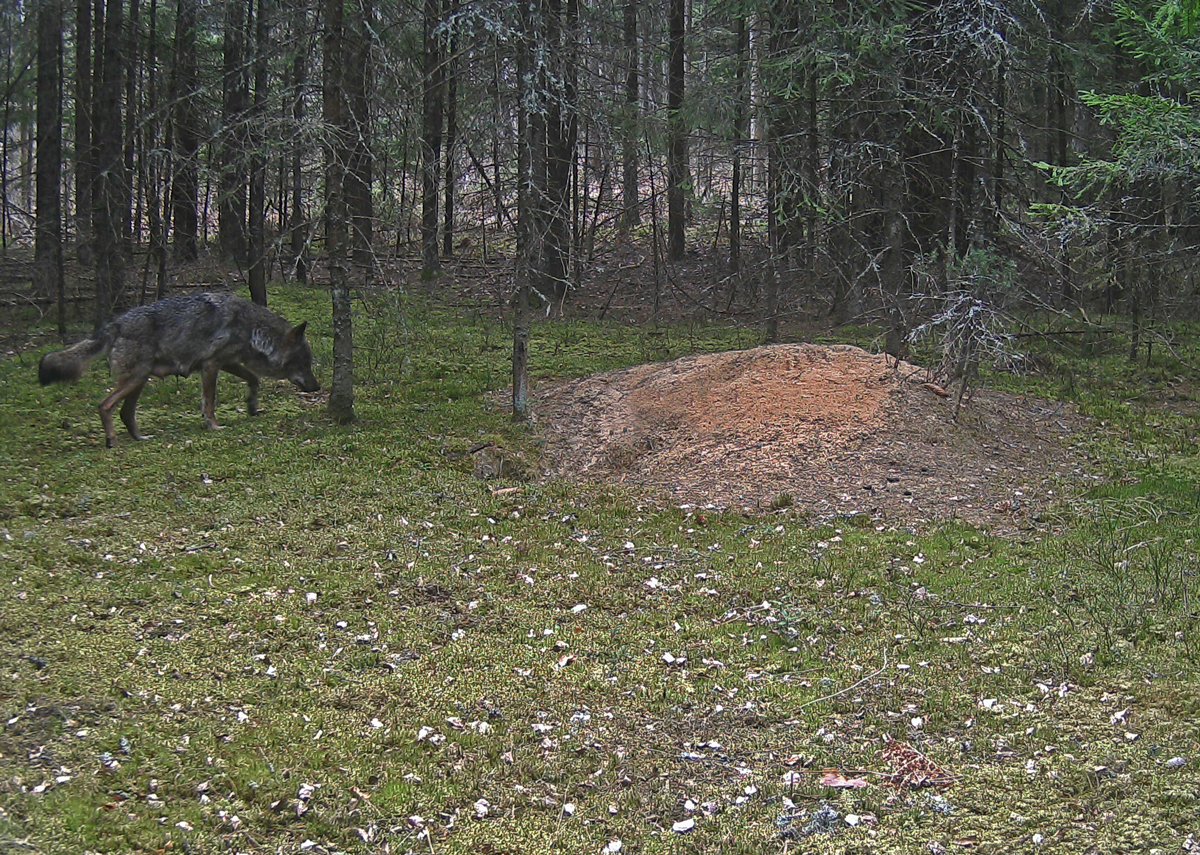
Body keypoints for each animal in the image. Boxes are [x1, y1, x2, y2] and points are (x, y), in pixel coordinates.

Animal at [39, 292, 320, 447]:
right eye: (305, 363)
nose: (317, 387)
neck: (251, 329)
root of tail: (115, 324)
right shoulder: (210, 365)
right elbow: (209, 402)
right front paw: (213, 426)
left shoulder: (227, 362)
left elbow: (254, 379)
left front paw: (252, 405)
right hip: (135, 379)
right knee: (104, 405)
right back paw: (112, 440)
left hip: (140, 381)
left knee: (125, 413)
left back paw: (140, 438)